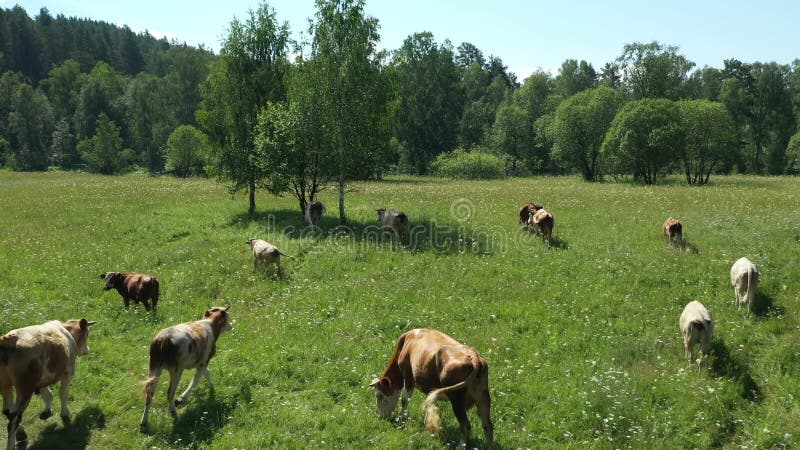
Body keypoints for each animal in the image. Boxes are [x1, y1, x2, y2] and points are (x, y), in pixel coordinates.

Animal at [0, 318, 94, 450]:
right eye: (87, 334)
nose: (88, 350)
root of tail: (7, 339)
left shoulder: (42, 380)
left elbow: (47, 394)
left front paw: (47, 412)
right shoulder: (68, 372)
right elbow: (63, 394)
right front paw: (65, 415)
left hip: (5, 385)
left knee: (8, 412)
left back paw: (21, 435)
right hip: (24, 389)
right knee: (14, 419)